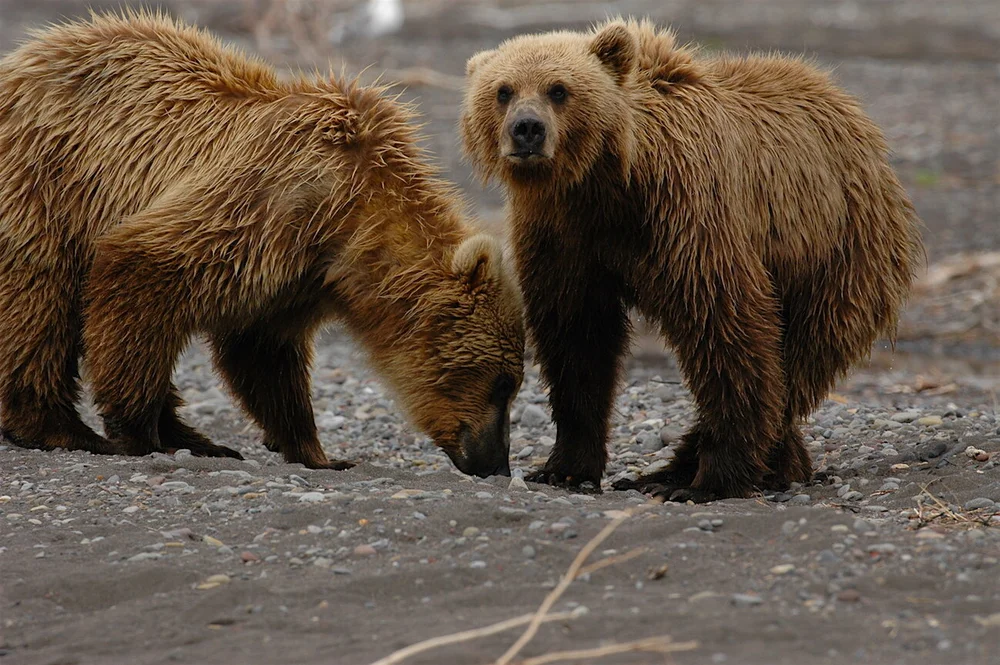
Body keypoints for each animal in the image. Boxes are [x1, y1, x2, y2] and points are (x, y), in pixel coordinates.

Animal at [0, 11, 525, 477]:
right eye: (503, 384)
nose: (496, 464)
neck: (354, 227)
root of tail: (22, 57)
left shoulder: (294, 275)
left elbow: (264, 354)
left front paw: (317, 452)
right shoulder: (274, 198)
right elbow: (143, 267)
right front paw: (136, 430)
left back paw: (199, 439)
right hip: (45, 185)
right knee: (37, 300)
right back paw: (60, 428)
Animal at [460, 18, 924, 500]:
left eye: (558, 89)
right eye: (503, 90)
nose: (527, 129)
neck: (607, 181)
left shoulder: (686, 211)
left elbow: (724, 324)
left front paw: (715, 479)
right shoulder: (562, 235)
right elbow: (577, 339)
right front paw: (564, 467)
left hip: (834, 251)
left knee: (799, 359)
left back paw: (716, 469)